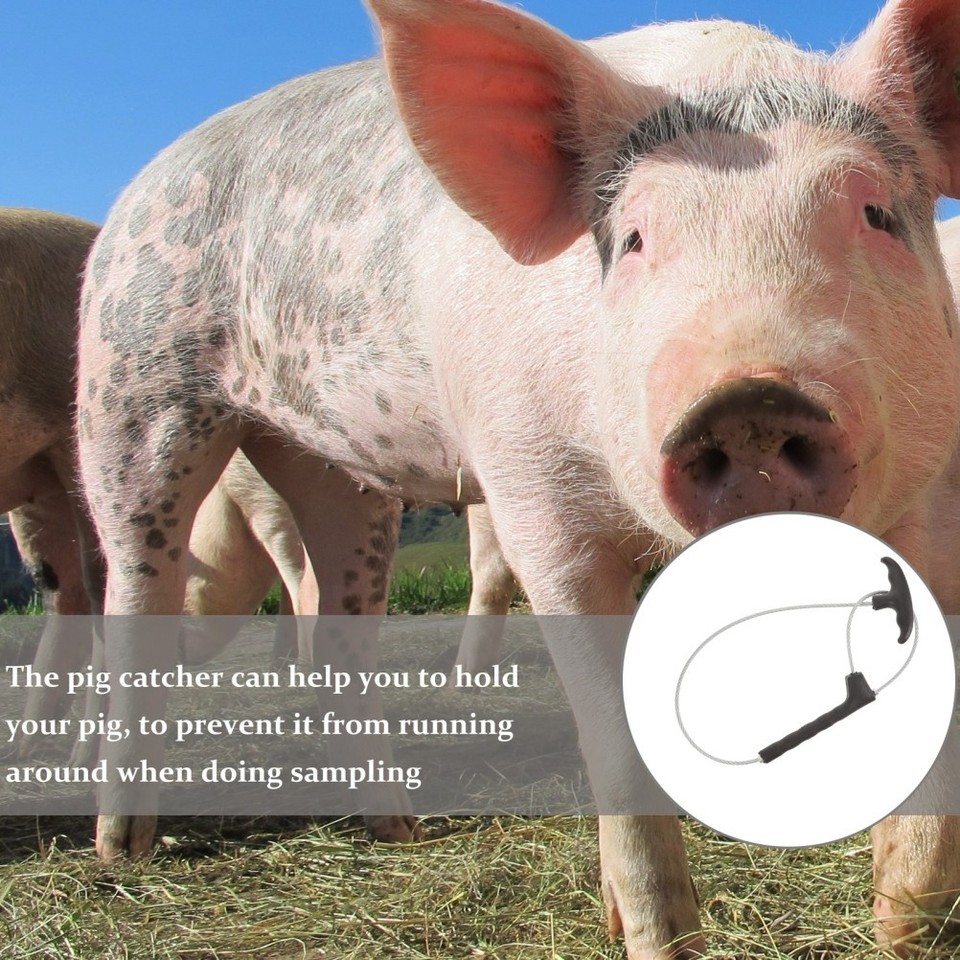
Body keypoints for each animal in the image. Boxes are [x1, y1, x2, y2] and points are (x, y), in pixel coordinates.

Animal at [74, 0, 960, 956]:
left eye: (875, 212)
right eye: (635, 239)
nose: (750, 400)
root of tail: (141, 185)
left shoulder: (930, 484)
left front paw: (904, 925)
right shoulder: (528, 489)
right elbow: (611, 732)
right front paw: (654, 938)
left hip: (333, 471)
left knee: (337, 622)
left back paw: (400, 828)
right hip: (132, 381)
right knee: (136, 593)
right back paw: (124, 849)